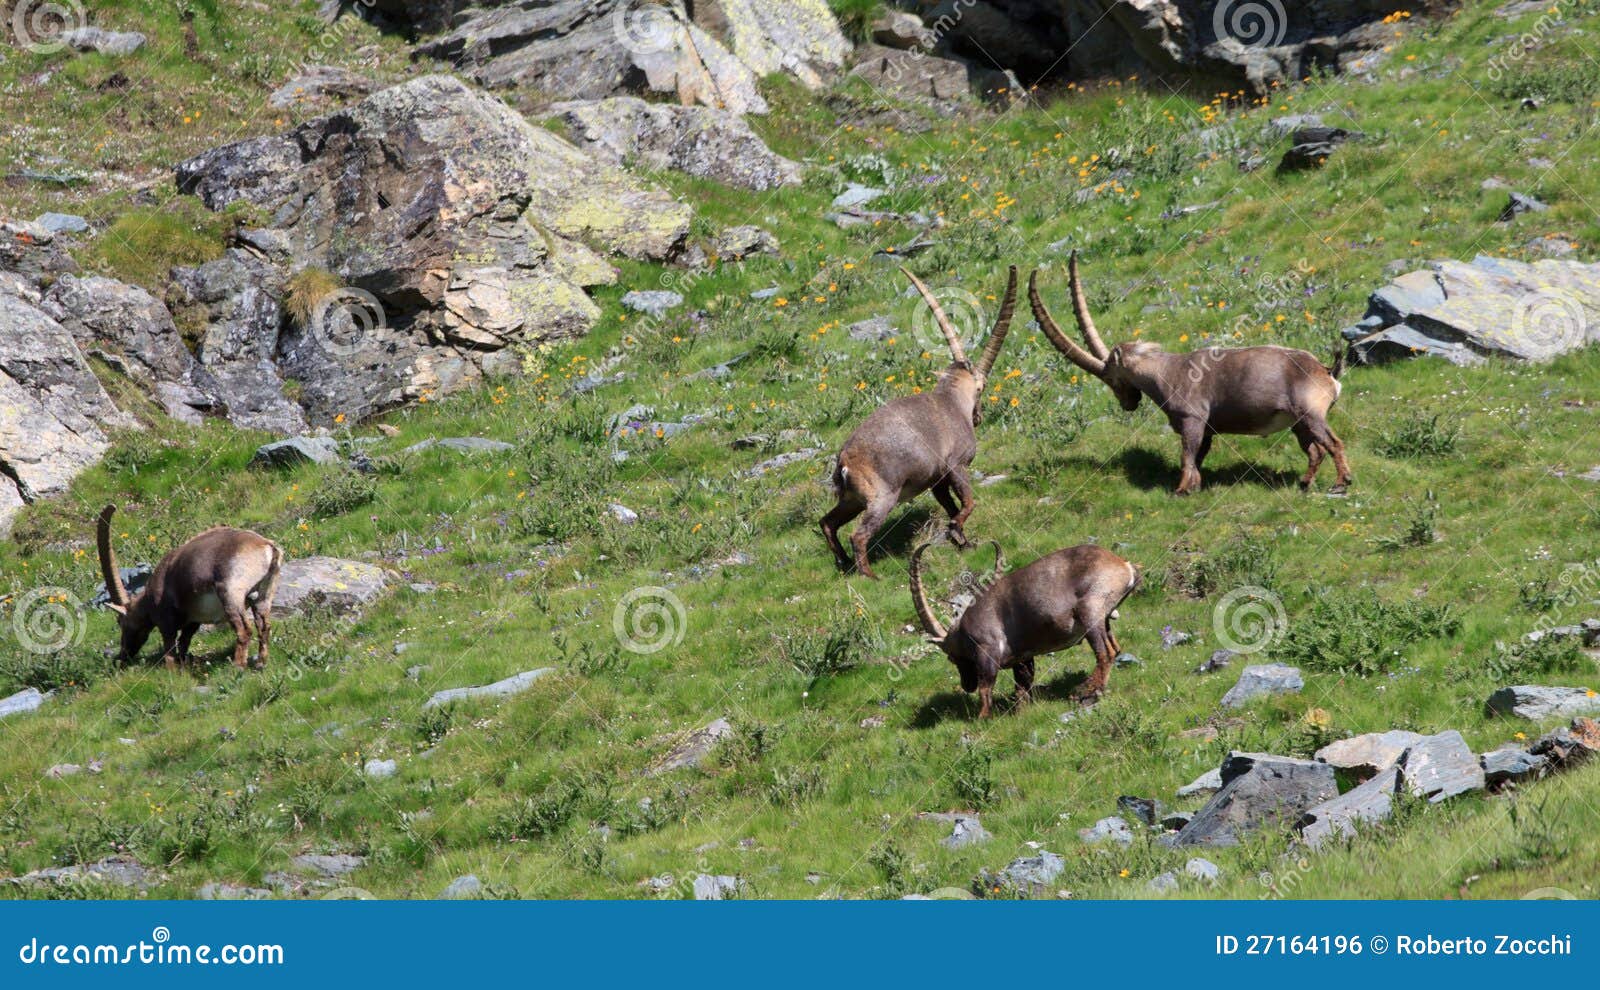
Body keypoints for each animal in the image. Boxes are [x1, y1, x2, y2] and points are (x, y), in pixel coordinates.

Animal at [96, 505, 282, 670]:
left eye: (121, 621)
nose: (122, 657)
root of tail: (268, 547)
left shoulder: (165, 621)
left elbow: (170, 647)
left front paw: (171, 671)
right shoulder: (193, 621)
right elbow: (184, 641)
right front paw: (183, 665)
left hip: (230, 592)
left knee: (244, 629)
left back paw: (238, 666)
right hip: (264, 593)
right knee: (264, 626)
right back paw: (260, 663)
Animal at [820, 265, 1017, 578]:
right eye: (982, 386)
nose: (978, 417)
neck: (952, 401)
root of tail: (844, 462)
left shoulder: (936, 479)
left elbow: (950, 505)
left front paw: (963, 542)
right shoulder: (956, 465)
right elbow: (967, 502)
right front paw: (957, 531)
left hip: (851, 500)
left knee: (827, 522)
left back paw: (843, 563)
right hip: (881, 498)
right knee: (858, 535)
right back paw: (870, 576)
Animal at [910, 540, 1141, 716]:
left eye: (952, 657)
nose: (967, 686)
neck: (964, 633)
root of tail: (1124, 566)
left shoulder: (988, 649)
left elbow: (986, 688)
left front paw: (982, 718)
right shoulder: (1022, 657)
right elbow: (1022, 687)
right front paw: (1020, 713)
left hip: (1090, 612)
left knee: (1105, 652)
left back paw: (1084, 691)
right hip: (1104, 619)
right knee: (1115, 648)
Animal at [1029, 253, 1351, 495]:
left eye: (1109, 377)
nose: (1128, 404)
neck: (1165, 372)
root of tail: (1326, 370)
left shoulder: (1192, 419)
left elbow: (1187, 454)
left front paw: (1182, 489)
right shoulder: (1206, 428)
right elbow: (1198, 456)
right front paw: (1194, 485)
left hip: (1311, 413)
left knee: (1333, 443)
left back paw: (1341, 482)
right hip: (1298, 423)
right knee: (1315, 451)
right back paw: (1305, 483)